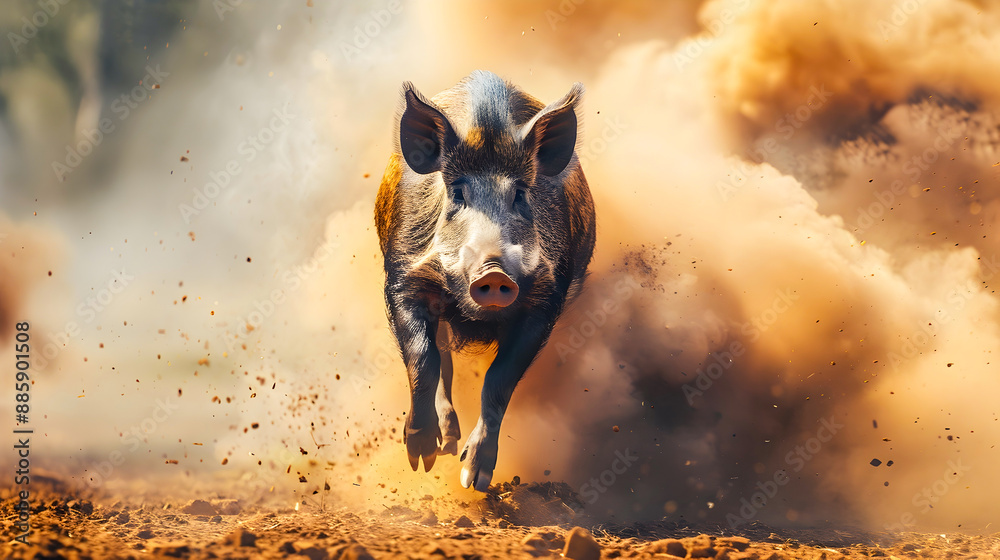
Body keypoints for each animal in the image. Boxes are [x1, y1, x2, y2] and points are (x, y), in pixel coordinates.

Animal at [374, 70, 596, 491]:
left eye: (521, 194)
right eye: (457, 193)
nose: (494, 272)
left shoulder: (546, 302)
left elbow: (499, 380)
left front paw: (472, 480)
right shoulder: (402, 281)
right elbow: (423, 361)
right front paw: (420, 459)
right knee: (442, 357)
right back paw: (442, 448)